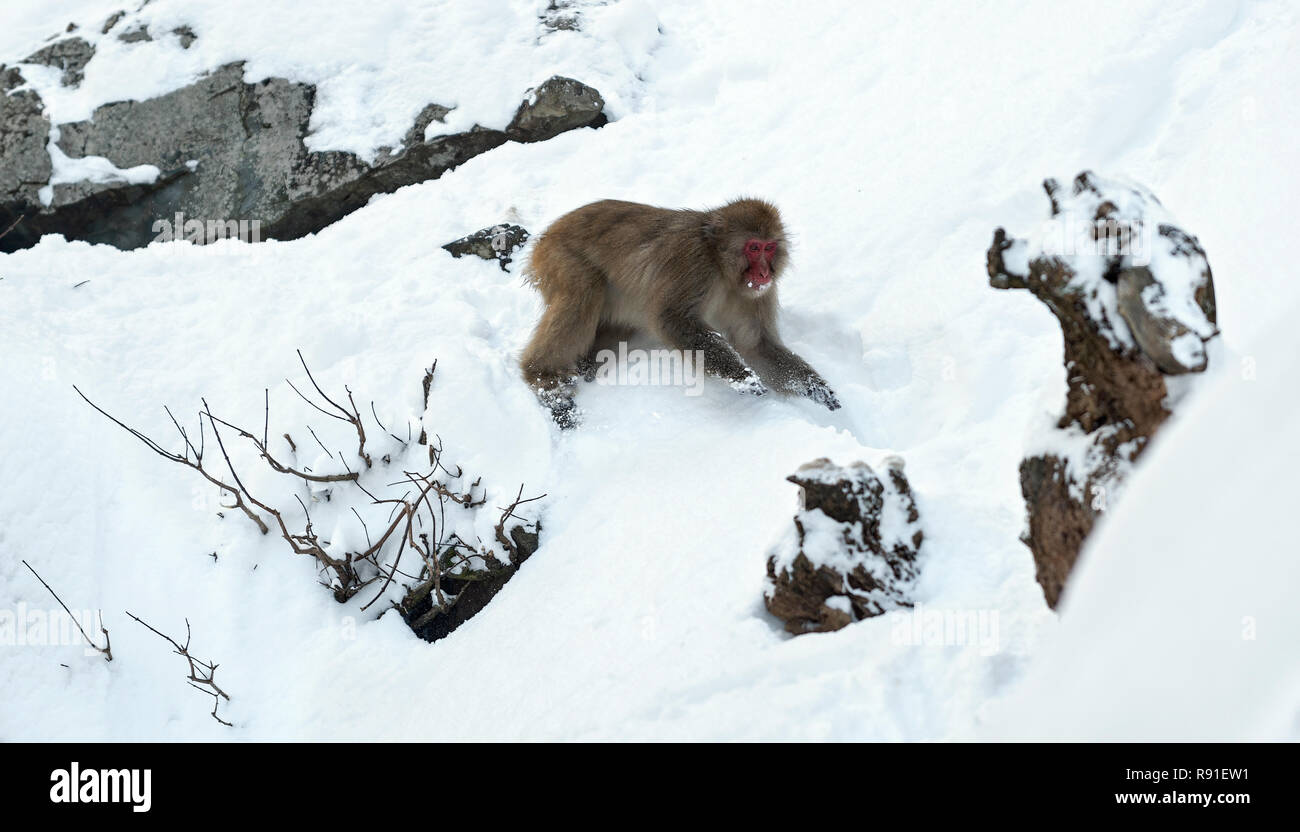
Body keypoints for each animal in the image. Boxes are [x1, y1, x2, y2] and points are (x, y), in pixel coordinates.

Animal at [520, 197, 840, 427]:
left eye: (770, 248)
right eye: (753, 247)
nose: (763, 273)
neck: (722, 268)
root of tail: (547, 234)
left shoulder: (756, 295)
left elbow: (756, 345)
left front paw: (816, 390)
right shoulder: (694, 264)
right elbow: (671, 320)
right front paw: (743, 377)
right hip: (560, 258)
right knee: (583, 295)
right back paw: (542, 376)